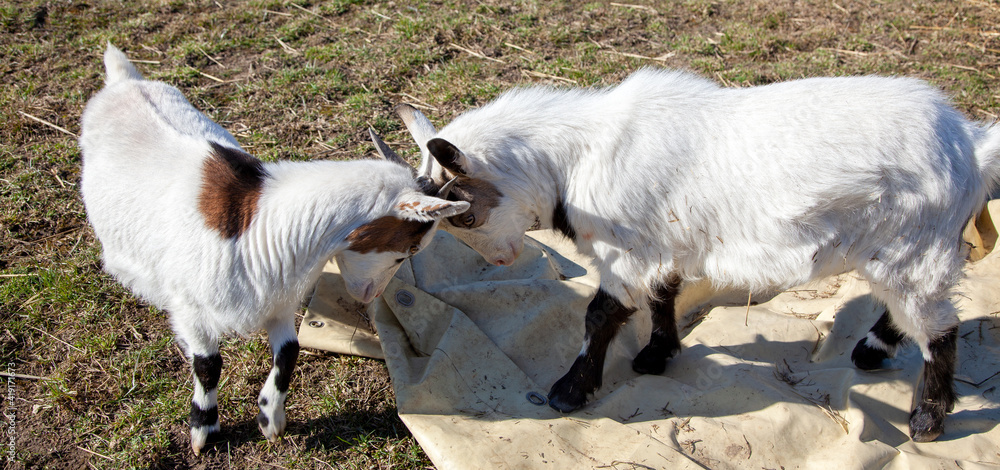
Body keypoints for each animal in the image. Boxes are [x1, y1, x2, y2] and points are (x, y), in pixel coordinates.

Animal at [78, 44, 468, 454]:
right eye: (408, 249)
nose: (370, 296)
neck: (259, 223)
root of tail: (124, 81)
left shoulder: (276, 300)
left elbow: (290, 351)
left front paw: (271, 419)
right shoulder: (190, 308)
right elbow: (208, 364)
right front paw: (203, 429)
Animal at [394, 67, 1000, 442]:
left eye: (463, 214)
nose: (499, 264)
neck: (577, 155)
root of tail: (971, 145)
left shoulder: (626, 253)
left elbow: (600, 314)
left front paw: (570, 390)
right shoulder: (662, 245)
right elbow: (665, 296)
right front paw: (657, 355)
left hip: (915, 248)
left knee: (941, 326)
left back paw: (927, 420)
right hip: (899, 251)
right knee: (909, 310)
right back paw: (872, 351)